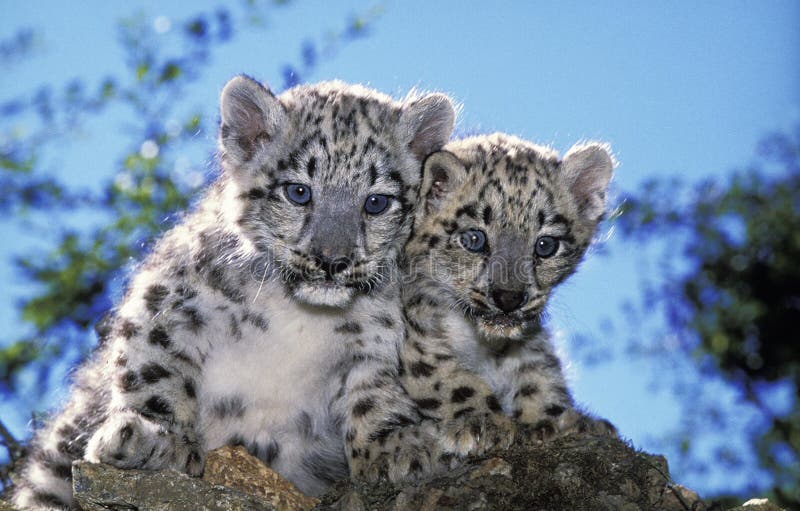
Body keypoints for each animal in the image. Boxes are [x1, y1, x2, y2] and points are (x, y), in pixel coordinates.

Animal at [12, 75, 455, 510]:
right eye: (298, 191)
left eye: (376, 202)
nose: (332, 260)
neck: (301, 314)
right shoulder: (169, 301)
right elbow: (152, 367)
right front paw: (156, 437)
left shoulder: (377, 337)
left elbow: (375, 390)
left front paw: (397, 444)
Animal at [398, 133, 618, 463]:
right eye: (474, 239)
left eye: (546, 245)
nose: (508, 297)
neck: (483, 344)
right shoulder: (416, 334)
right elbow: (447, 376)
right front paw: (483, 423)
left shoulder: (529, 338)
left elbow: (538, 372)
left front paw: (560, 419)